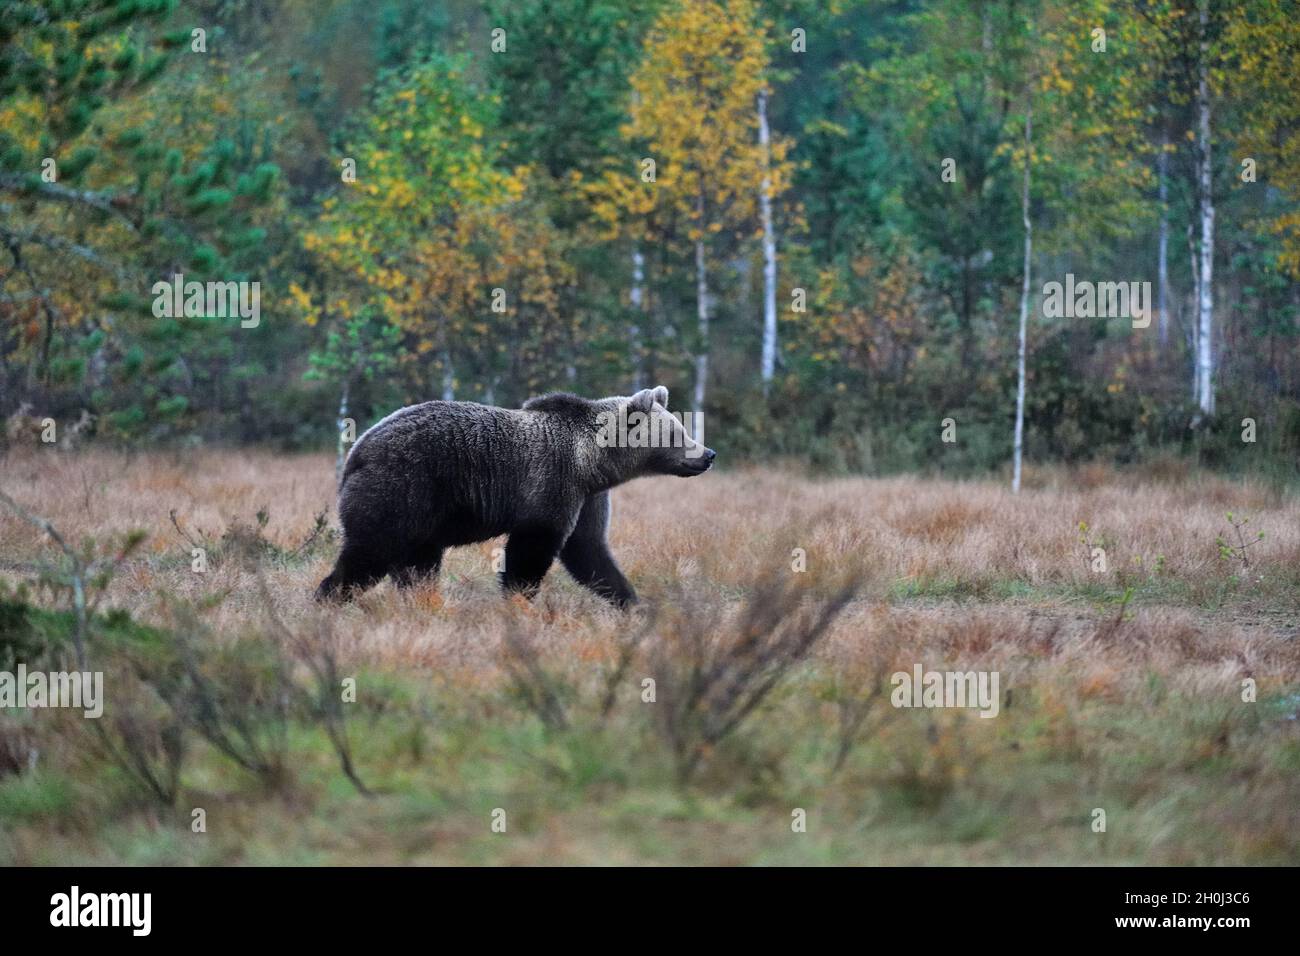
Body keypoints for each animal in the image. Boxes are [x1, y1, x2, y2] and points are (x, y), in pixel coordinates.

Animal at [315, 385, 715, 607]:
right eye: (677, 433)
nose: (708, 454)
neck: (592, 462)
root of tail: (357, 450)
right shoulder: (551, 483)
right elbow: (530, 553)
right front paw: (520, 602)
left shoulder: (587, 498)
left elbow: (589, 551)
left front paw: (631, 602)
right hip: (402, 486)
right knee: (370, 551)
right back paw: (327, 597)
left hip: (422, 516)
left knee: (417, 564)